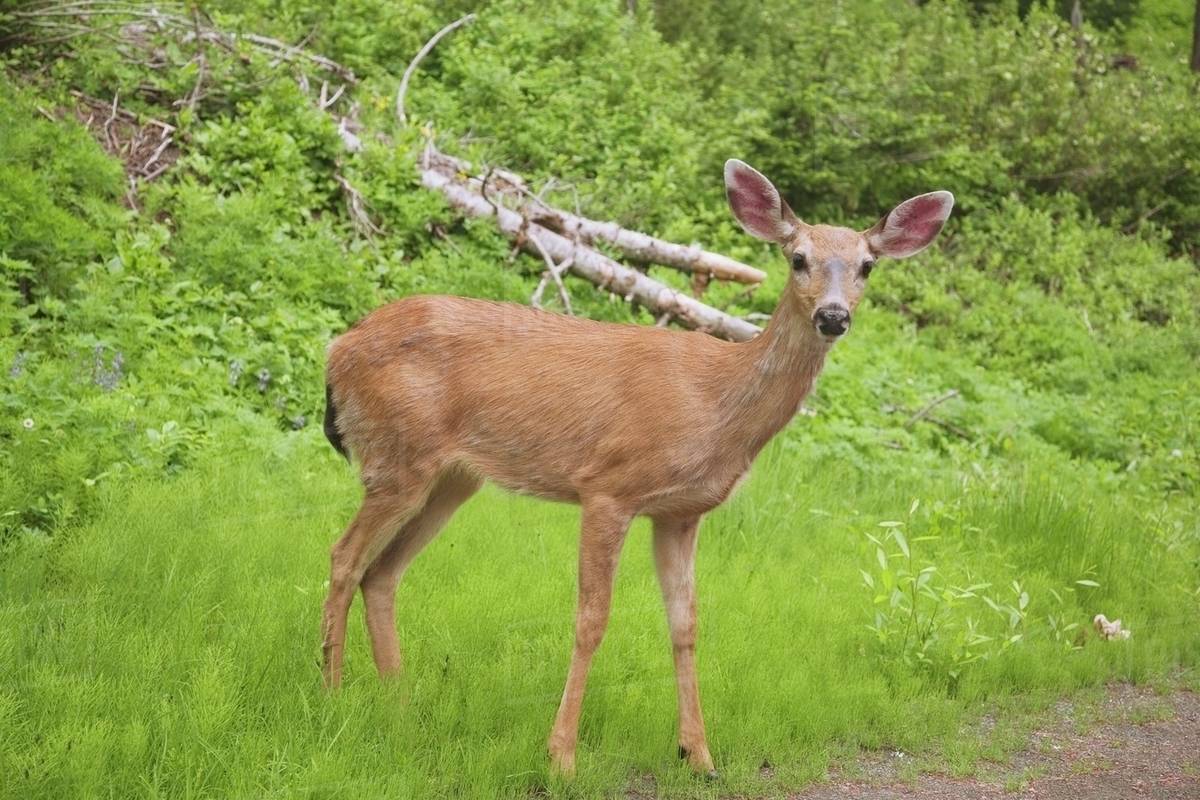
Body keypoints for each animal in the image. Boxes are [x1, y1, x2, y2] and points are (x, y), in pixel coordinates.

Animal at [320, 159, 953, 777]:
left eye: (867, 265)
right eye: (798, 258)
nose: (833, 315)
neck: (716, 406)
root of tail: (337, 351)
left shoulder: (680, 513)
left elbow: (686, 623)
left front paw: (698, 756)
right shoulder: (609, 487)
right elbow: (592, 618)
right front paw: (561, 757)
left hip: (452, 477)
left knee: (383, 573)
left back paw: (399, 702)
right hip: (398, 455)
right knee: (344, 557)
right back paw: (333, 689)